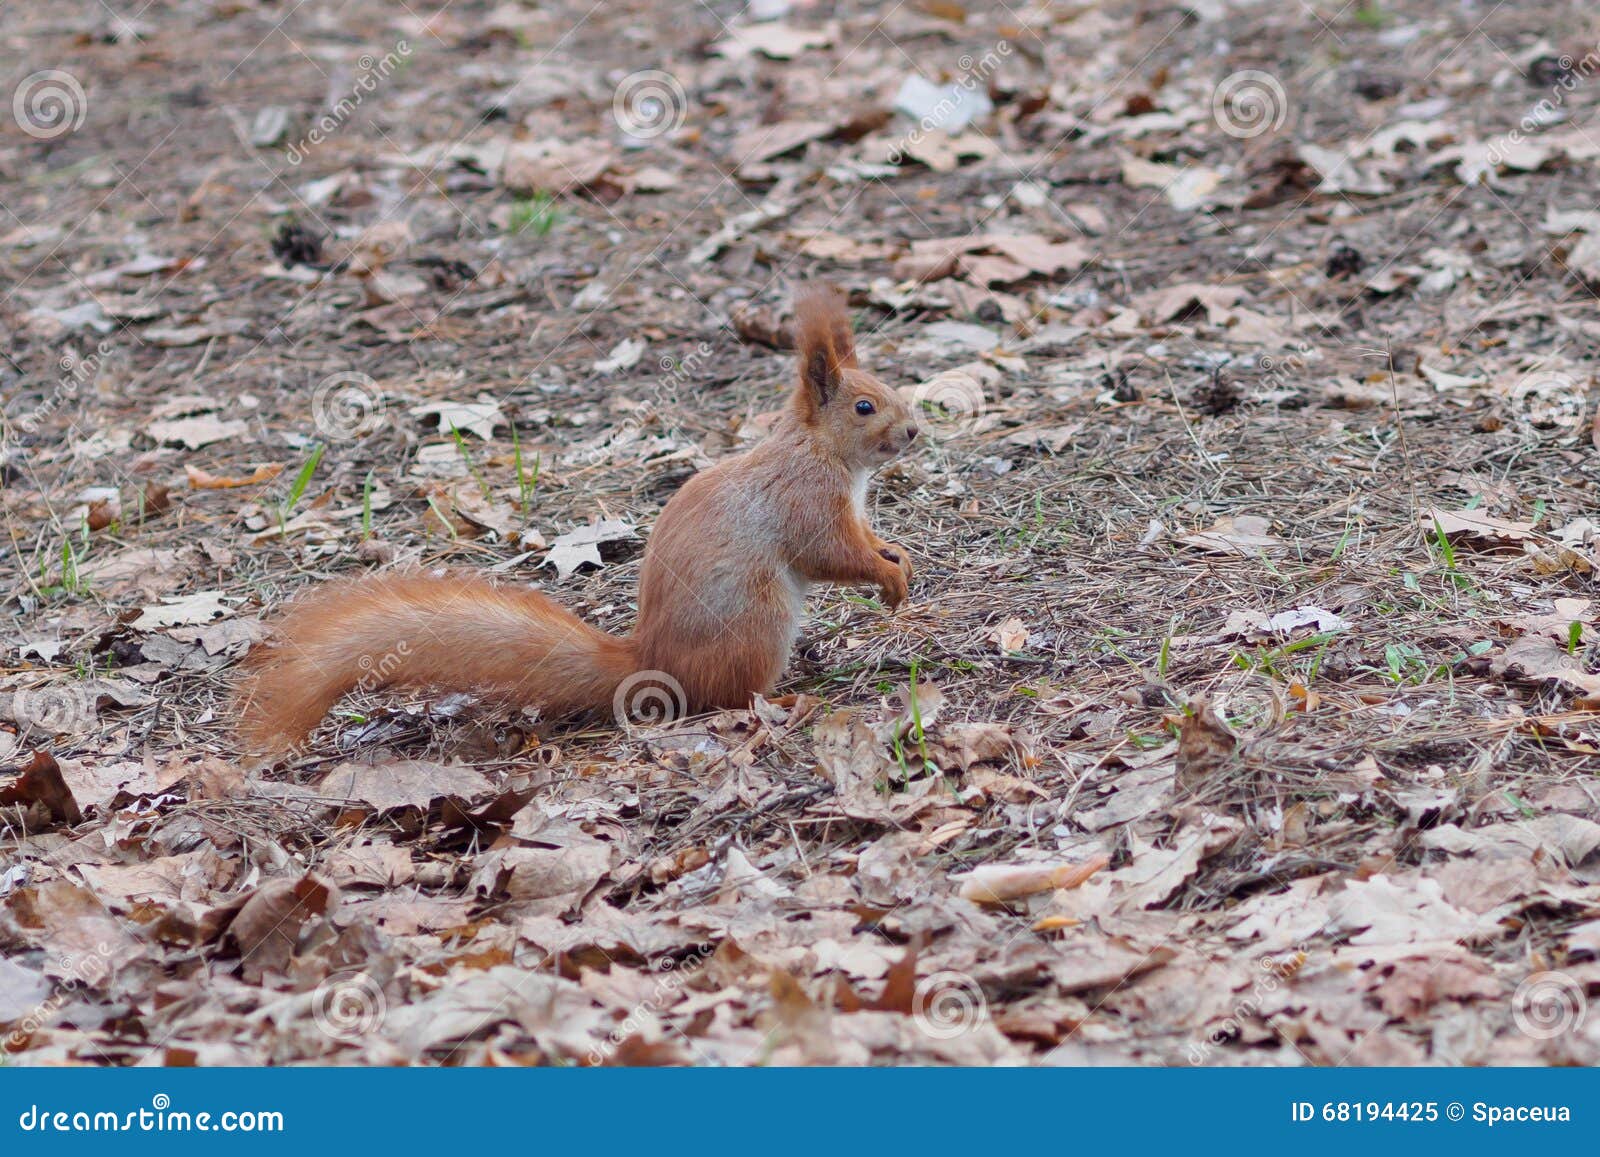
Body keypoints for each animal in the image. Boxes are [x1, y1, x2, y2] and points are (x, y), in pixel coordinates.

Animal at [235, 282, 920, 755]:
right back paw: (787, 698)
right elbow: (833, 554)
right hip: (759, 618)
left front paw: (900, 557)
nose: (914, 430)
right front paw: (888, 577)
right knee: (731, 696)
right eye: (865, 406)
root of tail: (653, 665)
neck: (822, 452)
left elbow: (867, 540)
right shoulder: (807, 502)